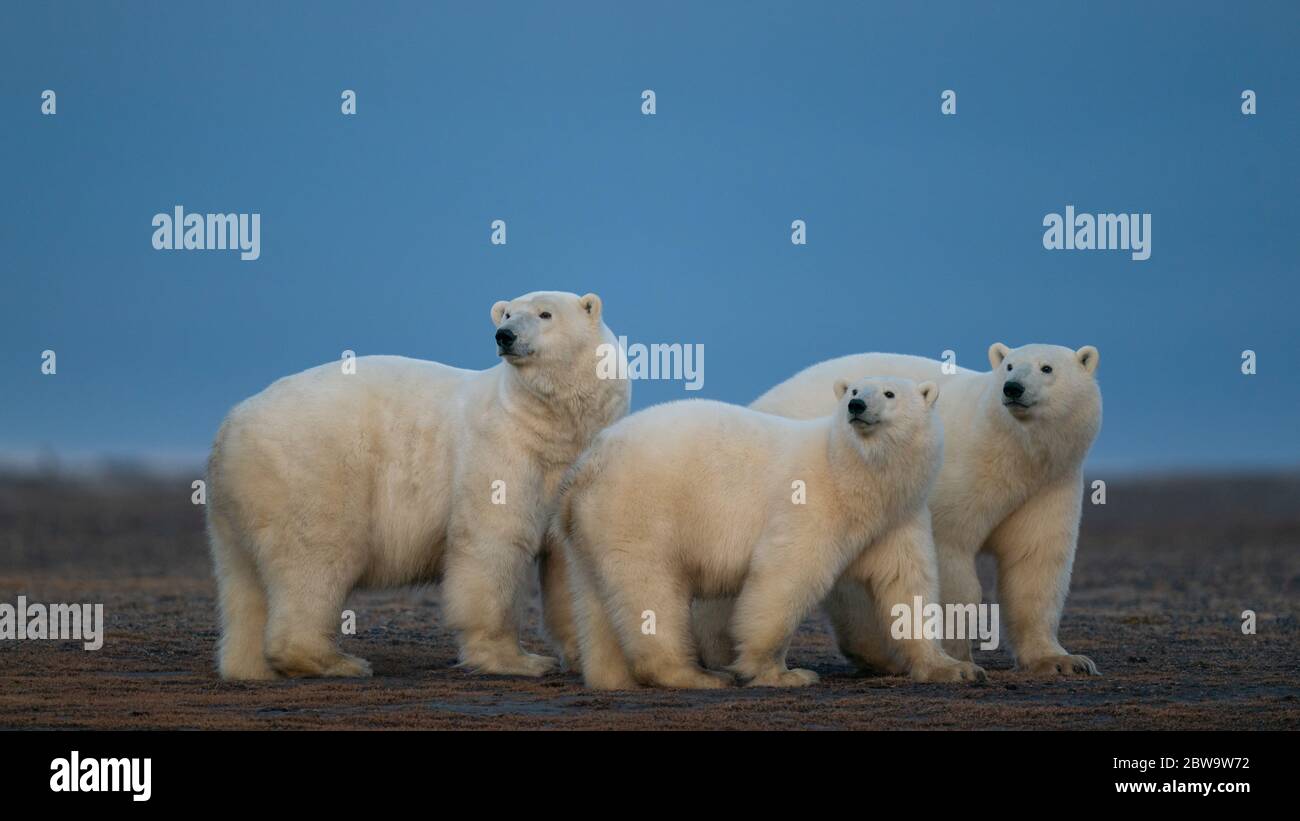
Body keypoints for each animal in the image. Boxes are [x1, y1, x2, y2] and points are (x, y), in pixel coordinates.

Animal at [206, 291, 629, 680]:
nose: (504, 335)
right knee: (317, 555)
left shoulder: (568, 468)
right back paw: (338, 662)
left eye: (545, 313)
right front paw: (518, 660)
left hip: (240, 497)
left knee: (243, 581)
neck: (549, 428)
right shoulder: (499, 451)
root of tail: (231, 425)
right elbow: (493, 544)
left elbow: (565, 562)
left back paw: (250, 667)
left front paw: (578, 655)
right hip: (312, 469)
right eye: (508, 313)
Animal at [558, 376, 987, 689]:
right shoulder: (811, 502)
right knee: (651, 592)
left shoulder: (898, 519)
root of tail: (584, 467)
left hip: (592, 528)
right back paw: (697, 675)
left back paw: (614, 679)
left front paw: (955, 668)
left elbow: (907, 585)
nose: (857, 406)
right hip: (640, 512)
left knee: (595, 599)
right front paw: (783, 673)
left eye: (889, 392)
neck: (855, 475)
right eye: (852, 390)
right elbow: (786, 577)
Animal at [694, 343, 1102, 676]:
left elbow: (1037, 561)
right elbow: (949, 558)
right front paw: (958, 657)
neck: (1014, 451)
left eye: (1047, 368)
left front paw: (1062, 660)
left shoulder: (1050, 484)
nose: (1012, 388)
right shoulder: (954, 478)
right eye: (1009, 366)